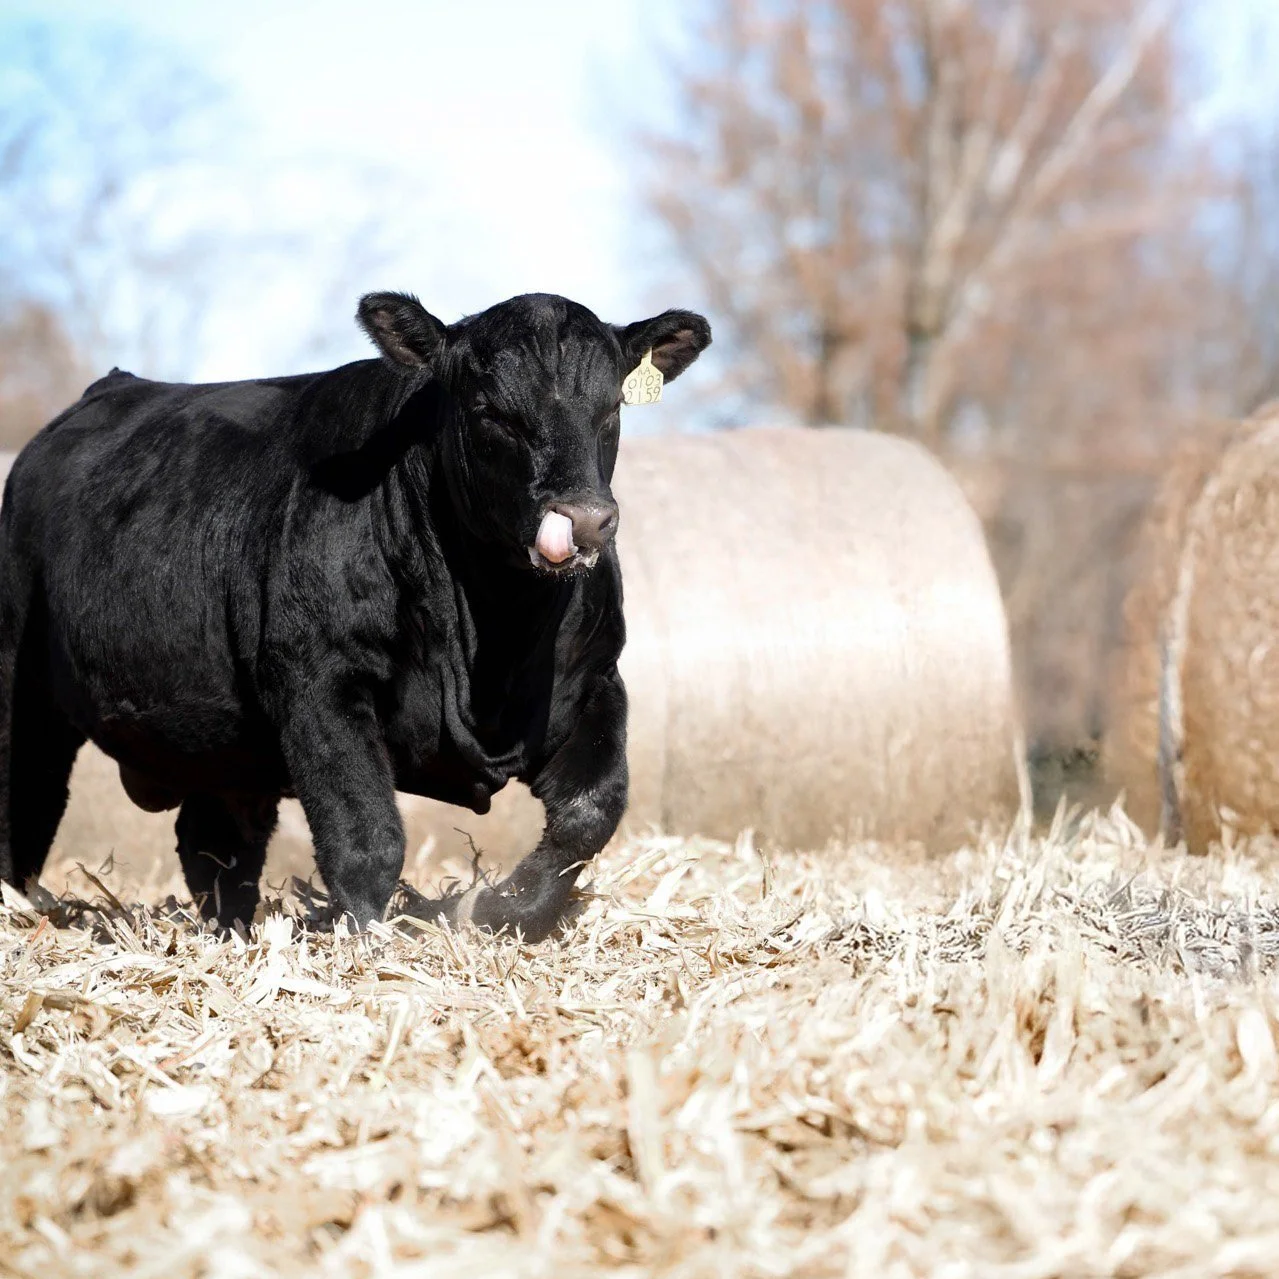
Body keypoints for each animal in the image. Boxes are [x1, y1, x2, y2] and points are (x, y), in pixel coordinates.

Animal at [0, 291, 711, 942]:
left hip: (222, 743)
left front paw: (505, 912)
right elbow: (366, 836)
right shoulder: (320, 681)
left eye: (611, 408)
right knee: (24, 809)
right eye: (490, 411)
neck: (495, 635)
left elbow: (591, 810)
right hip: (24, 692)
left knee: (216, 845)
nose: (586, 519)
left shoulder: (596, 679)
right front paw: (367, 947)